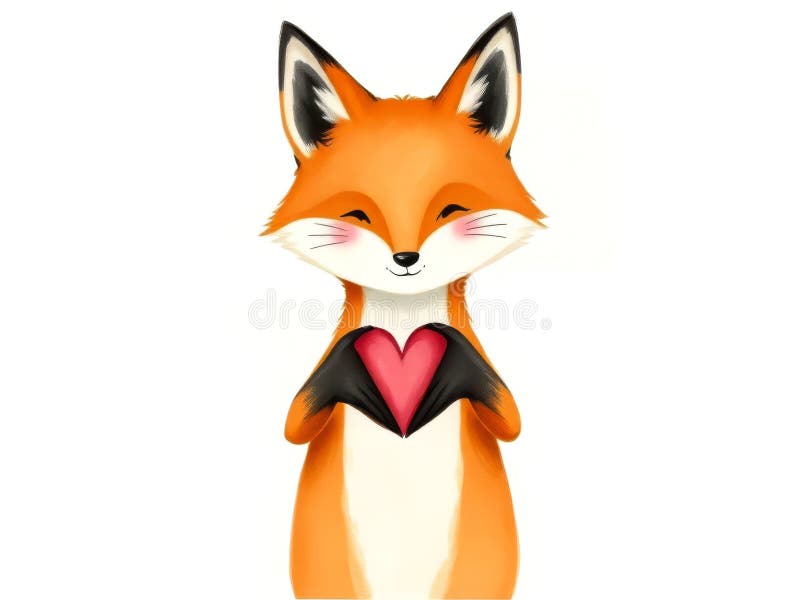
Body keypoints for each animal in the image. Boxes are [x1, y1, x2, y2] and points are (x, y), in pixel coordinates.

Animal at [264, 13, 546, 599]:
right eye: (358, 215)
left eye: (450, 209)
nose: (406, 257)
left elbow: (508, 417)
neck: (402, 326)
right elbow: (296, 422)